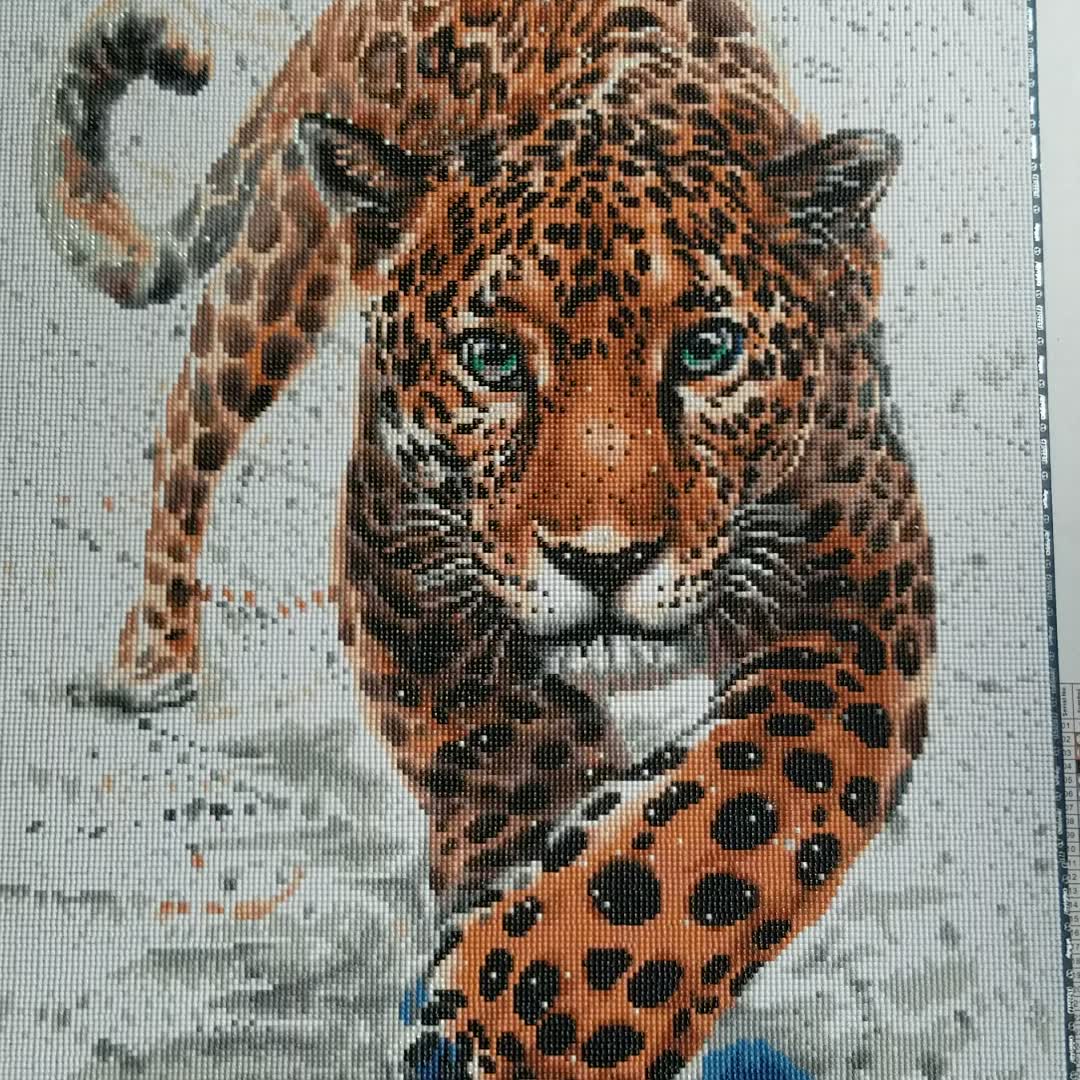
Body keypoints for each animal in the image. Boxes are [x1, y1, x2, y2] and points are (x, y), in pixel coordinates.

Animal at [37, 0, 935, 1076]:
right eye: (493, 358)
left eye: (708, 351)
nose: (602, 559)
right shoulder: (400, 554)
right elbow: (513, 750)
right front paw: (509, 947)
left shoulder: (865, 601)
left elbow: (728, 823)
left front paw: (526, 1004)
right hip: (283, 258)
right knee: (189, 416)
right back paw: (159, 652)